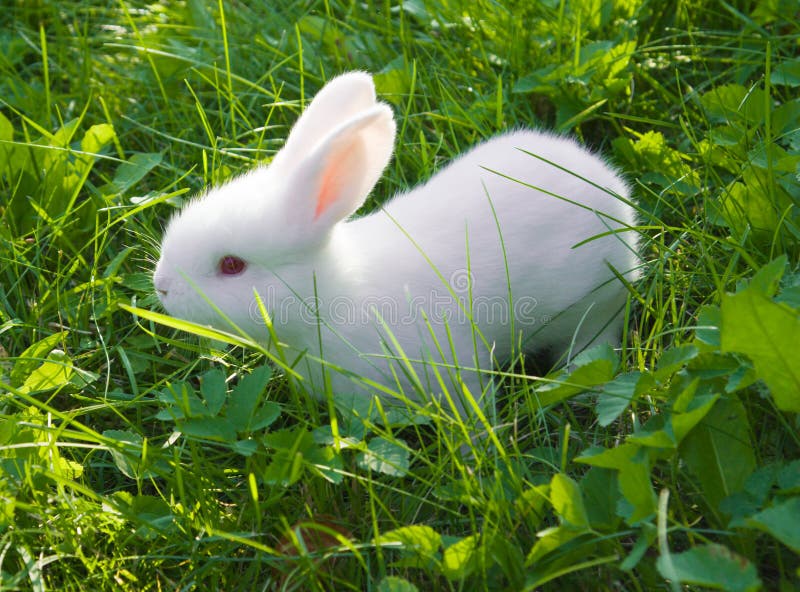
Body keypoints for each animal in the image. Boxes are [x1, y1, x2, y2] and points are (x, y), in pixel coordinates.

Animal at [153, 71, 641, 419]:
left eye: (232, 265)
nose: (161, 287)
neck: (335, 296)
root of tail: (611, 188)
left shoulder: (450, 362)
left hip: (595, 303)